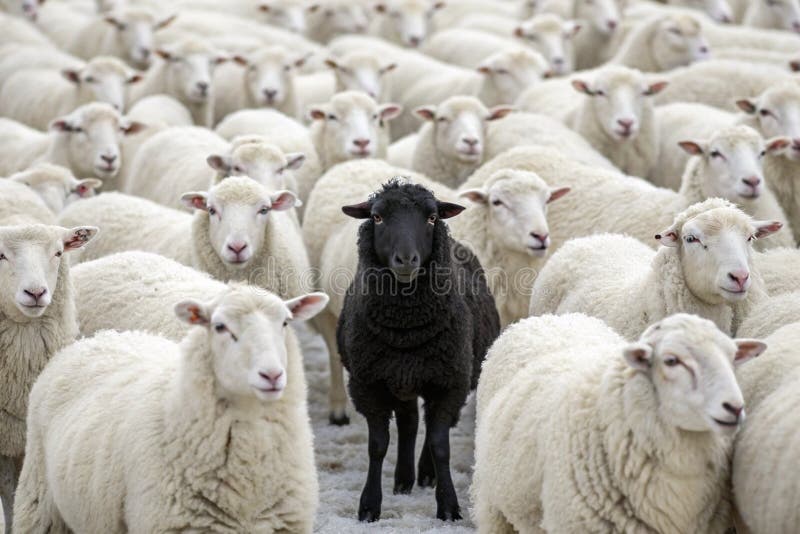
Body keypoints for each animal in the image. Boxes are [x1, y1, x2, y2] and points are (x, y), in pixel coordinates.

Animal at [336, 180, 500, 522]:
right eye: (377, 217)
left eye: (432, 218)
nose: (407, 260)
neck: (405, 331)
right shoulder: (368, 384)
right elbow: (377, 445)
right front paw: (369, 506)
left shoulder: (449, 383)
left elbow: (440, 444)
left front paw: (448, 506)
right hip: (402, 380)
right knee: (410, 422)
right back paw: (403, 479)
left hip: (443, 376)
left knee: (433, 426)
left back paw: (425, 473)